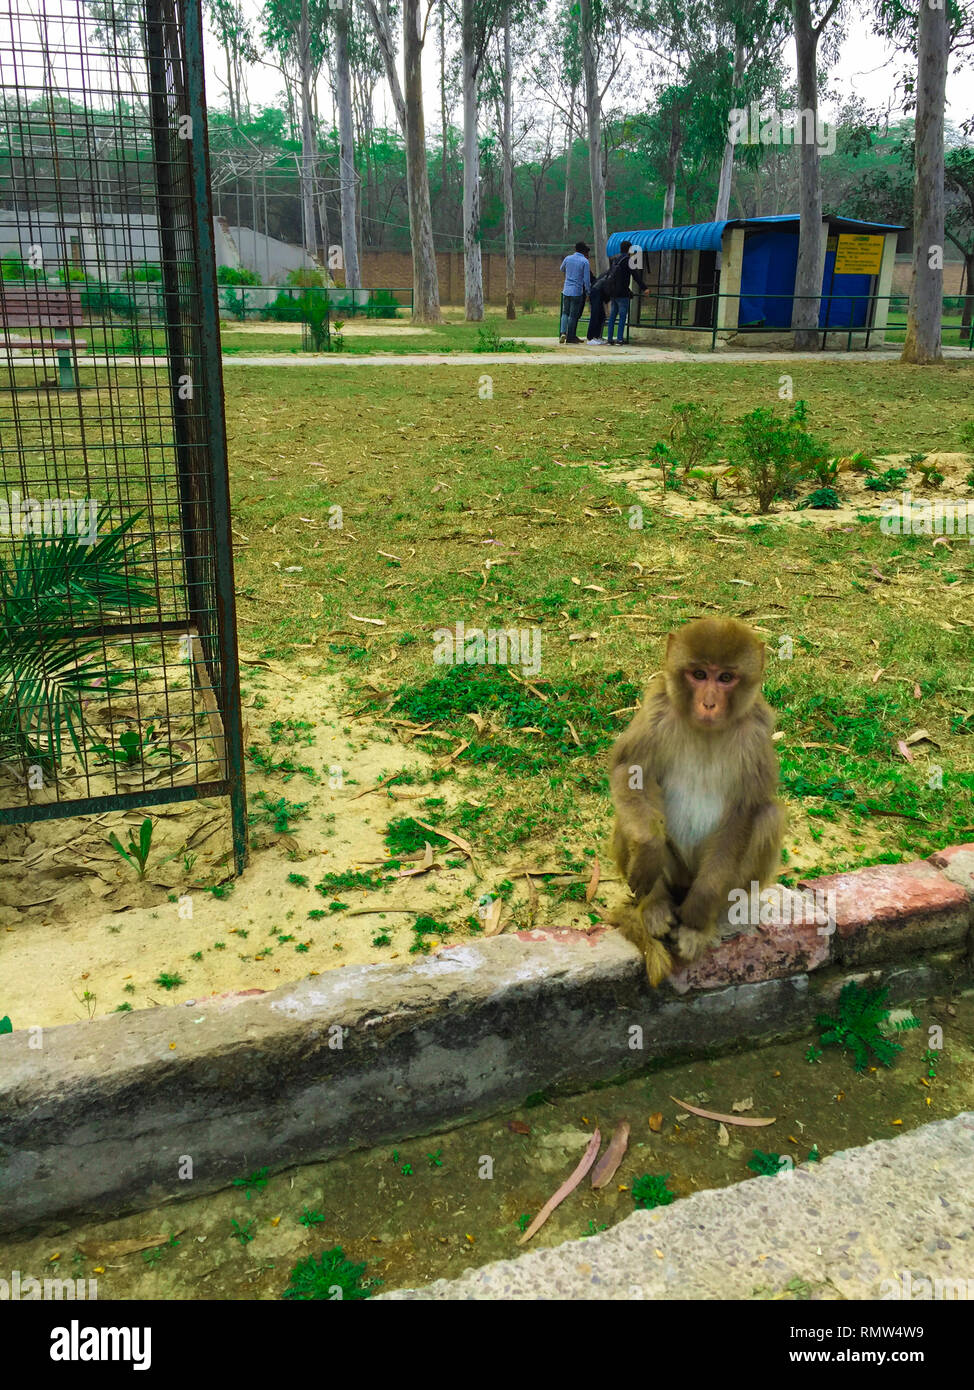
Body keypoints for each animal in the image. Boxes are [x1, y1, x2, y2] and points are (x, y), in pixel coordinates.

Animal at [609, 617, 786, 985]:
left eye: (726, 678)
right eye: (700, 674)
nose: (708, 703)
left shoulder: (755, 736)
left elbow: (745, 813)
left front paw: (697, 914)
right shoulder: (657, 711)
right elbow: (629, 772)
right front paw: (648, 853)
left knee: (769, 816)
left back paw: (702, 924)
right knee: (631, 818)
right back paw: (655, 907)